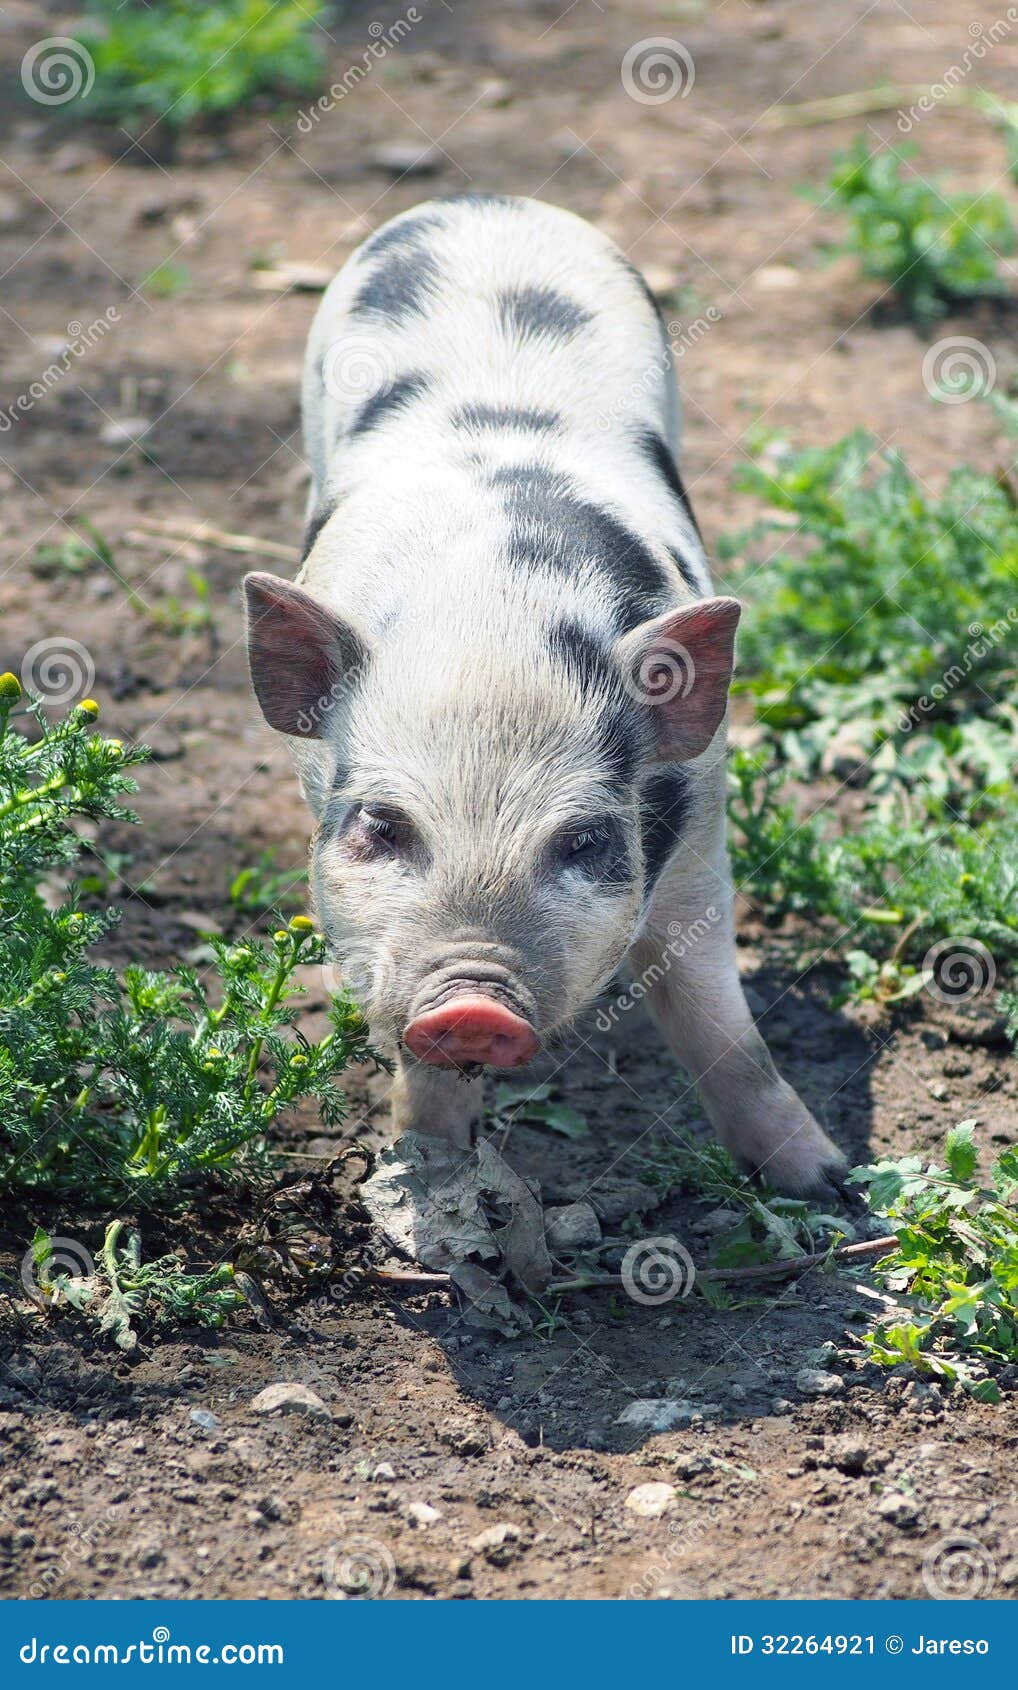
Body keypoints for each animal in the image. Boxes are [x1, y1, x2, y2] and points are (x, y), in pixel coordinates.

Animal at [245, 194, 845, 1195]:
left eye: (584, 840)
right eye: (382, 827)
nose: (473, 1005)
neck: (496, 616)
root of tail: (483, 202)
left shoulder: (699, 834)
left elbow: (724, 1028)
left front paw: (829, 1186)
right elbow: (419, 1065)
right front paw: (431, 1175)